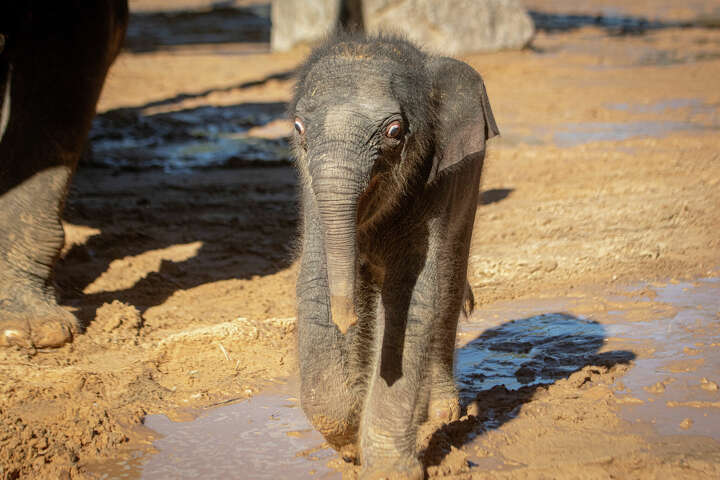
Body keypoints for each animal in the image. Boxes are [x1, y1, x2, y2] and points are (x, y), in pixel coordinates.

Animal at [291, 34, 498, 478]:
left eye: (394, 130)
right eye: (298, 127)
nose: (347, 318)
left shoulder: (436, 187)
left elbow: (411, 302)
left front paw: (388, 468)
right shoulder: (313, 200)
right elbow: (315, 284)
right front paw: (350, 443)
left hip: (469, 187)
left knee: (448, 284)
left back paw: (441, 414)